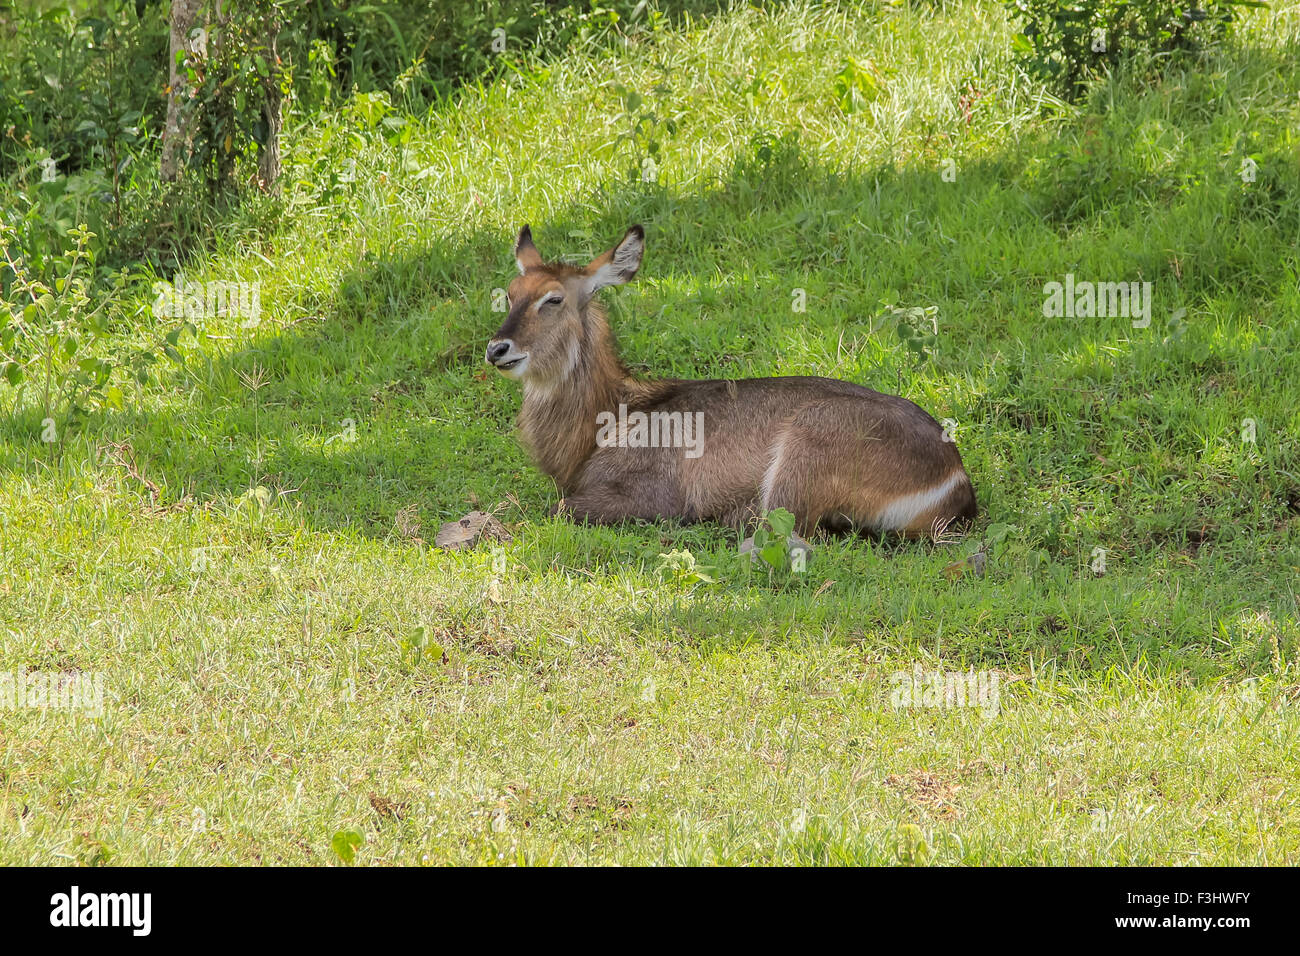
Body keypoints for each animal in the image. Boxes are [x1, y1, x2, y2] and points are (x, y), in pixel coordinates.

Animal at [485, 225, 977, 544]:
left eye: (553, 299)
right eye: (510, 293)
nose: (497, 348)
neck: (606, 419)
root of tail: (956, 482)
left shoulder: (647, 493)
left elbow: (551, 510)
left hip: (807, 443)